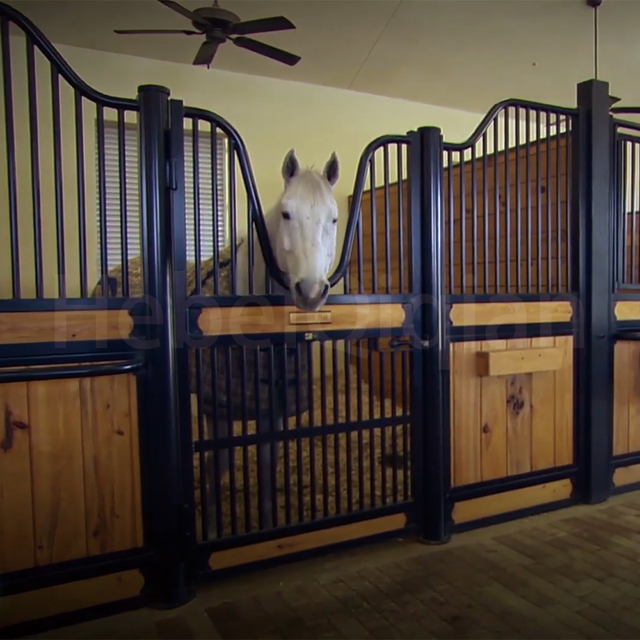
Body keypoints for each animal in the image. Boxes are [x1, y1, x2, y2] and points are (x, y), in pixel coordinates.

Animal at [92, 148, 341, 538]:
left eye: (333, 218)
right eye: (287, 213)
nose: (311, 291)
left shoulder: (270, 407)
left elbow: (266, 461)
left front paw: (266, 527)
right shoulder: (217, 407)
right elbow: (217, 460)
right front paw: (208, 527)